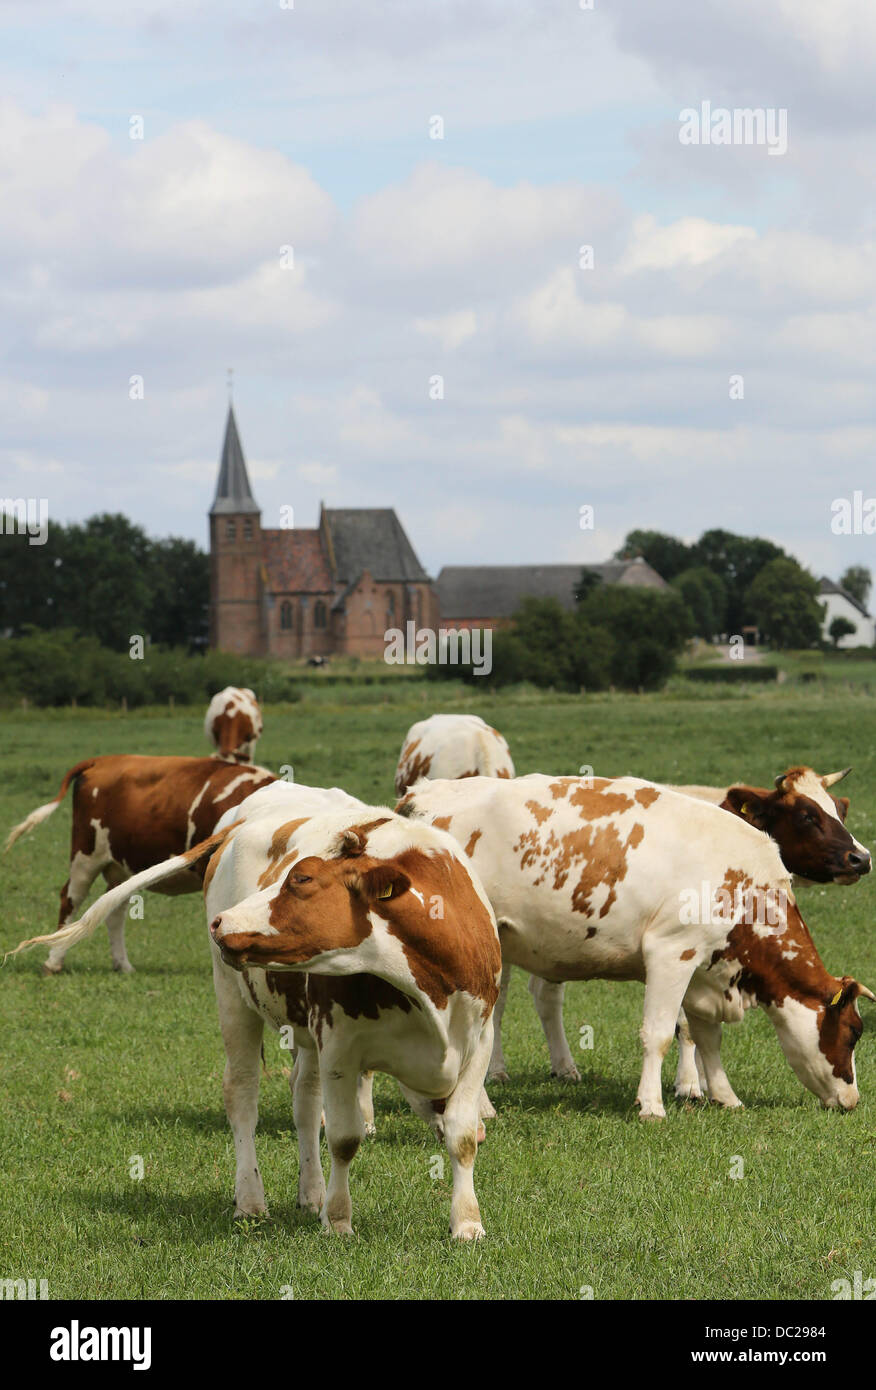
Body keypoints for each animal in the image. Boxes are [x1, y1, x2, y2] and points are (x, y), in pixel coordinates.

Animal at [3, 755, 276, 974]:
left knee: (114, 911)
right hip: (85, 856)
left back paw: (122, 965)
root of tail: (101, 760)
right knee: (70, 899)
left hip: (119, 867)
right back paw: (54, 961)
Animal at [9, 799, 502, 1240]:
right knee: (242, 1094)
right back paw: (250, 1200)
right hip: (233, 999)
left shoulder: (478, 1042)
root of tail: (243, 821)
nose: (222, 923)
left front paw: (467, 1224)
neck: (425, 986)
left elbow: (460, 1137)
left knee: (304, 1100)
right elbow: (344, 1138)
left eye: (301, 879)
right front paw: (338, 1222)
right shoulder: (340, 1048)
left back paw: (311, 1193)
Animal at [397, 774, 874, 1117]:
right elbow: (659, 1034)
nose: (852, 1101)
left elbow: (707, 1037)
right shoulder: (672, 953)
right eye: (854, 1033)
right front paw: (652, 1105)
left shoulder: (705, 969)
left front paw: (724, 1096)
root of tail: (423, 794)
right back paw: (480, 1106)